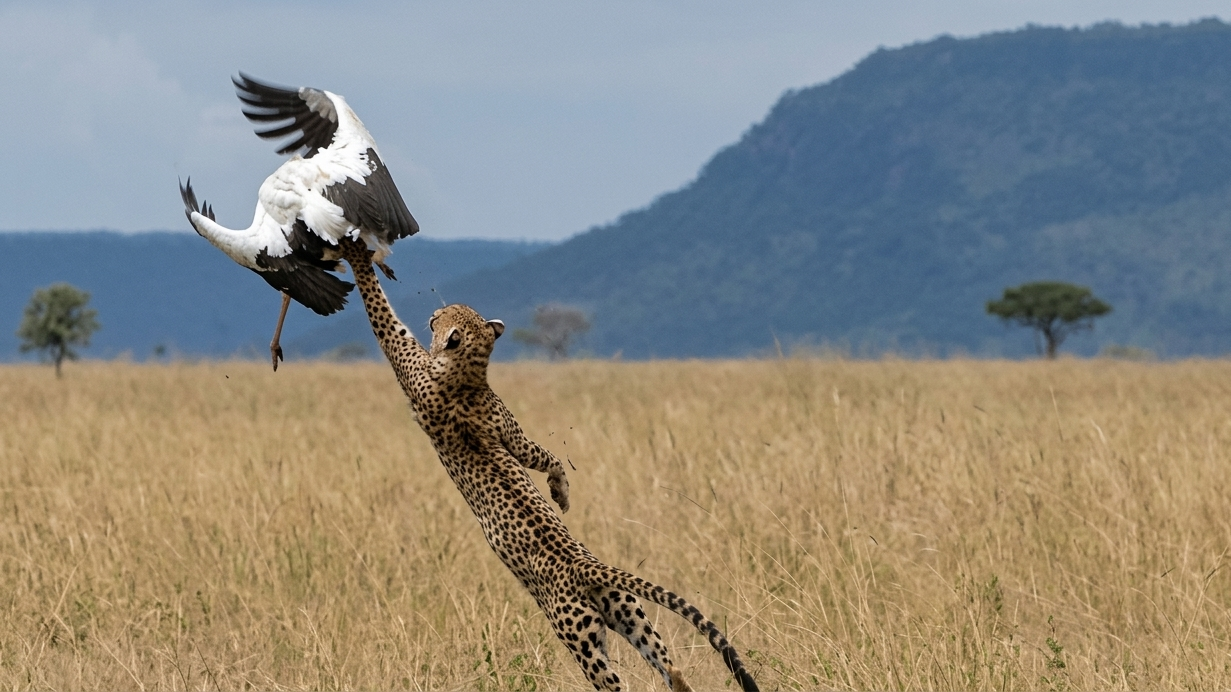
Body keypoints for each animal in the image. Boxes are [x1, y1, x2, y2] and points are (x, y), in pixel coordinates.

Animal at [337, 238, 759, 692]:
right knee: (673, 670)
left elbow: (383, 315)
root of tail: (583, 565)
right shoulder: (511, 435)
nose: (434, 313)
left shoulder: (408, 362)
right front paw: (561, 491)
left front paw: (356, 257)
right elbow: (541, 455)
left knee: (618, 682)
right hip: (630, 614)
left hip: (580, 640)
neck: (469, 371)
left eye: (448, 316)